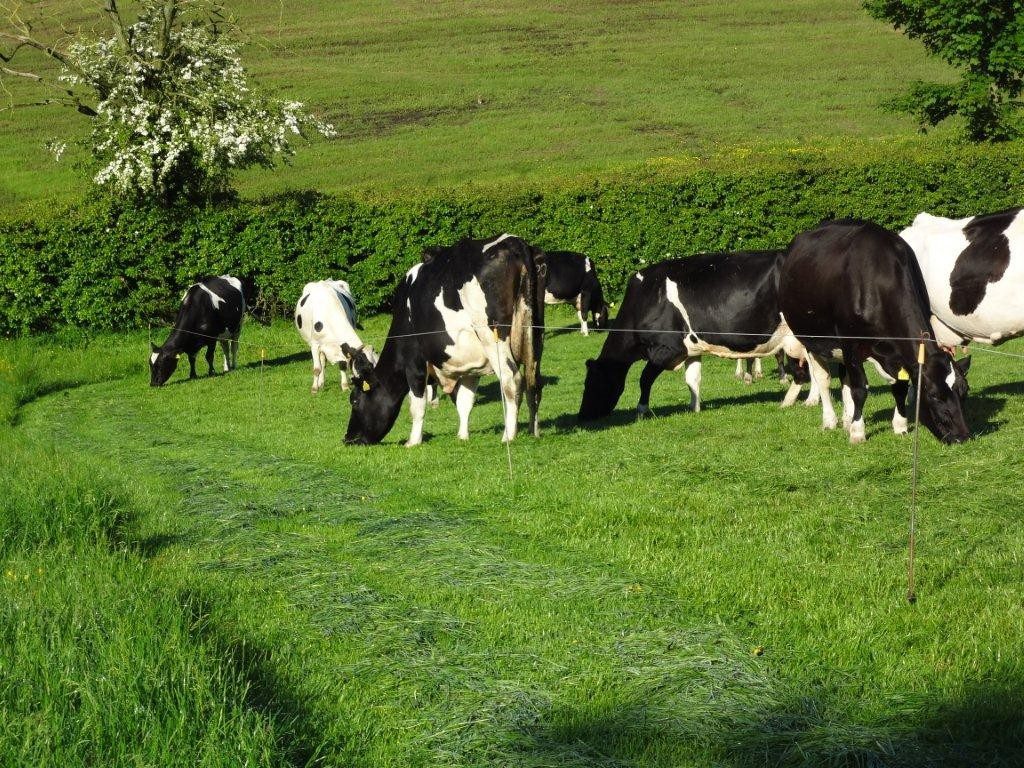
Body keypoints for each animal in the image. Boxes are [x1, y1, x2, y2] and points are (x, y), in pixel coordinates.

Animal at [343, 234, 546, 446]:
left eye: (355, 401)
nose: (347, 438)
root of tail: (511, 240)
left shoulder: (414, 363)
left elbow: (417, 404)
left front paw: (413, 441)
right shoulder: (470, 368)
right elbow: (465, 401)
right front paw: (462, 436)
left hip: (493, 337)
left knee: (511, 379)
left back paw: (508, 435)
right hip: (535, 336)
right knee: (533, 383)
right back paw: (534, 431)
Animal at [577, 250, 805, 422]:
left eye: (590, 383)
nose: (582, 416)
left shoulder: (668, 349)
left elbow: (645, 379)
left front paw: (641, 411)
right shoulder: (691, 350)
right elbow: (692, 380)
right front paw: (694, 409)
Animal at [778, 219, 971, 444]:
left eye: (965, 390)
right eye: (933, 395)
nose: (962, 436)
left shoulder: (896, 353)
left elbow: (899, 387)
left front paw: (900, 426)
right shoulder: (851, 342)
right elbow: (860, 388)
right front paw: (858, 432)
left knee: (844, 378)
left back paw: (846, 420)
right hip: (811, 338)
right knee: (823, 379)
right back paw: (830, 421)